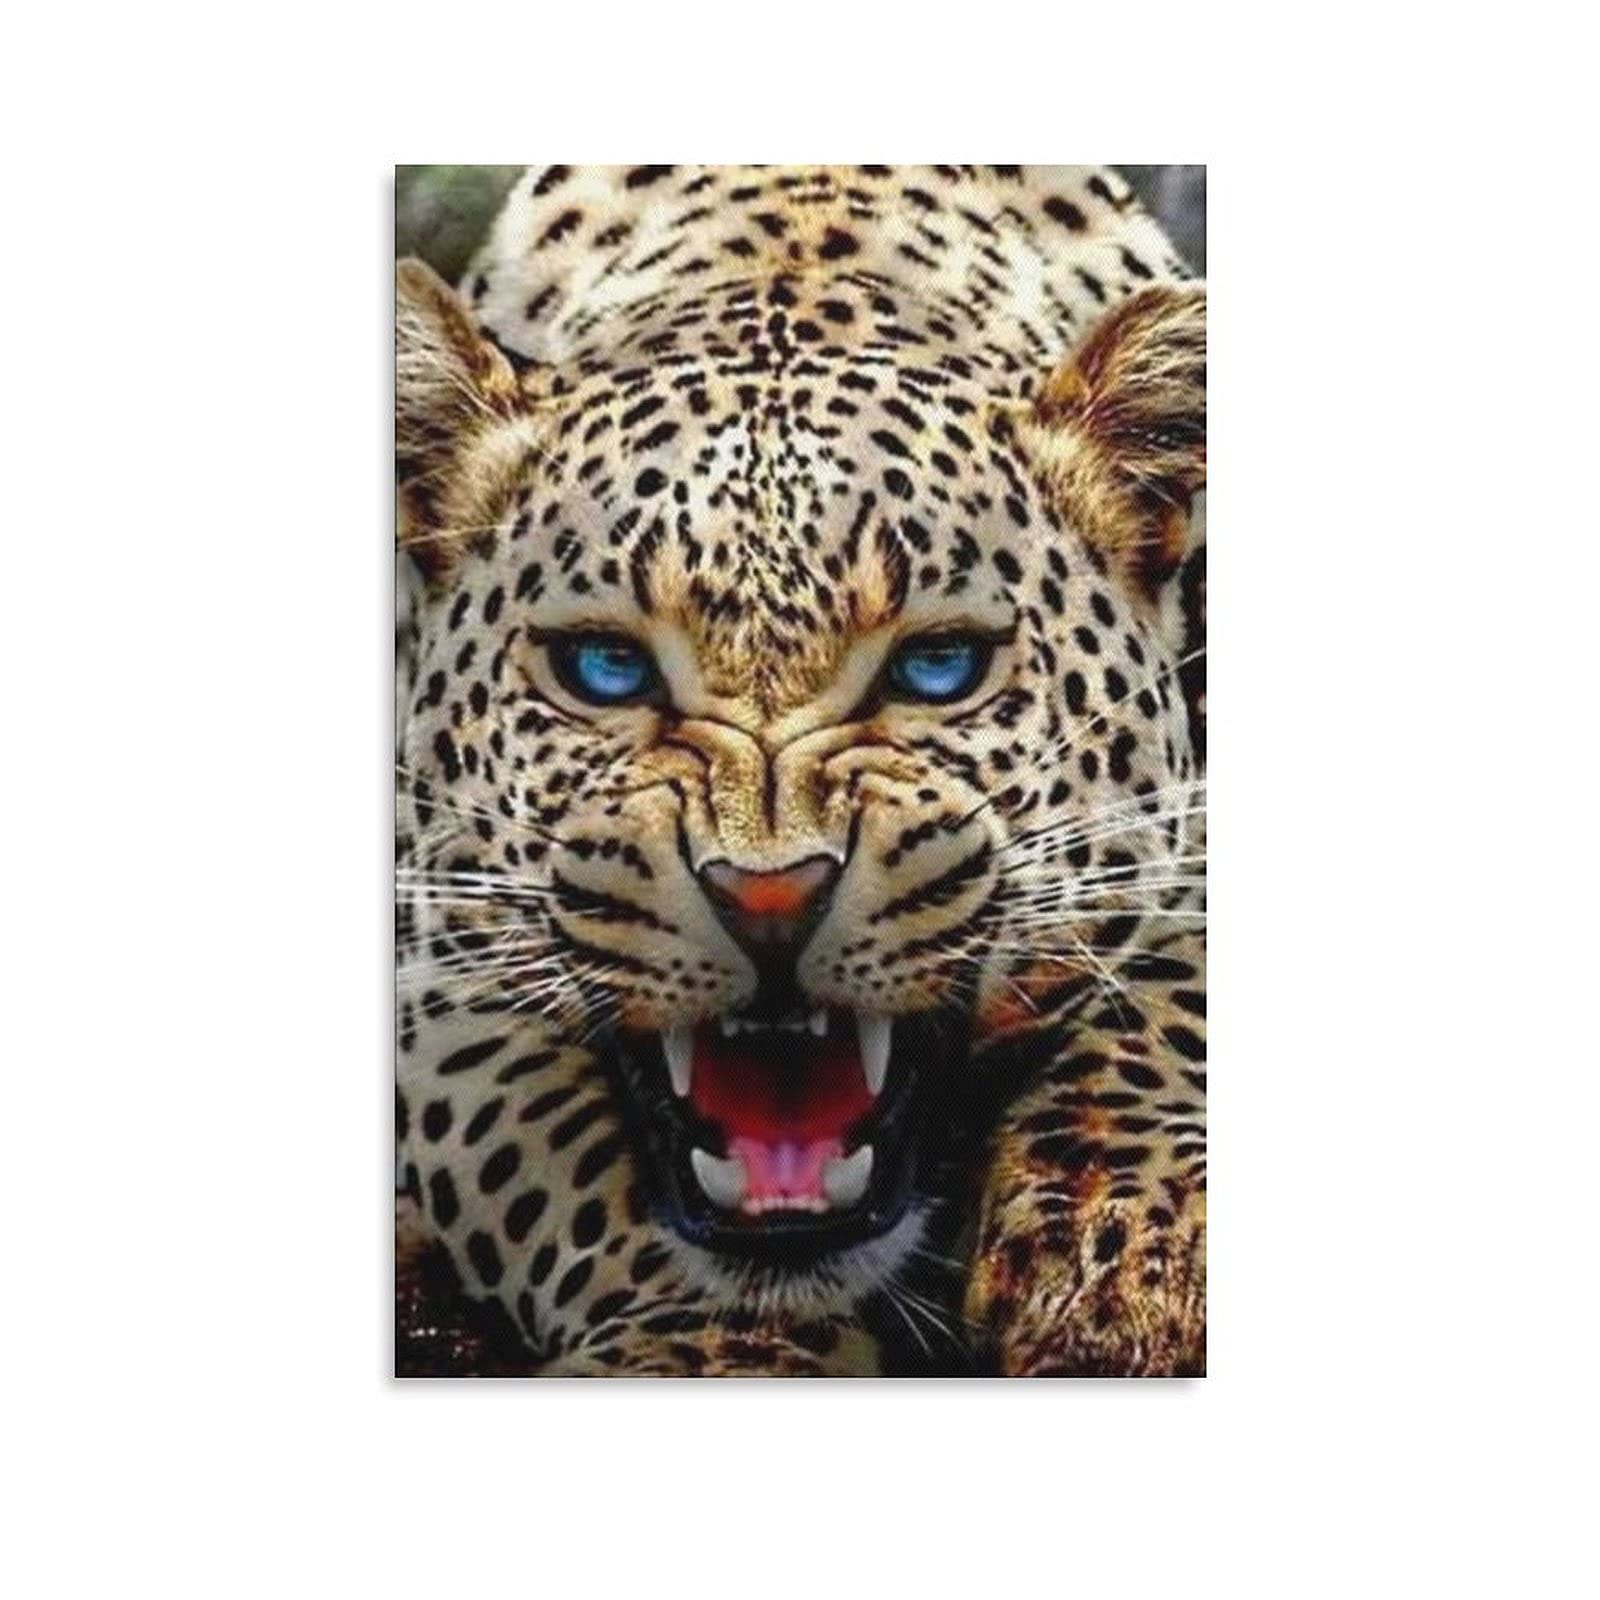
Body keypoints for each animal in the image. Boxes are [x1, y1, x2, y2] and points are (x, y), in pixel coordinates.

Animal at [394, 164, 1205, 1376]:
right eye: (604, 668)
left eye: (935, 666)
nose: (767, 899)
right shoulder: (430, 968)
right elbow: (566, 1161)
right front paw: (711, 1347)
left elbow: (1173, 997)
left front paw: (1121, 1246)